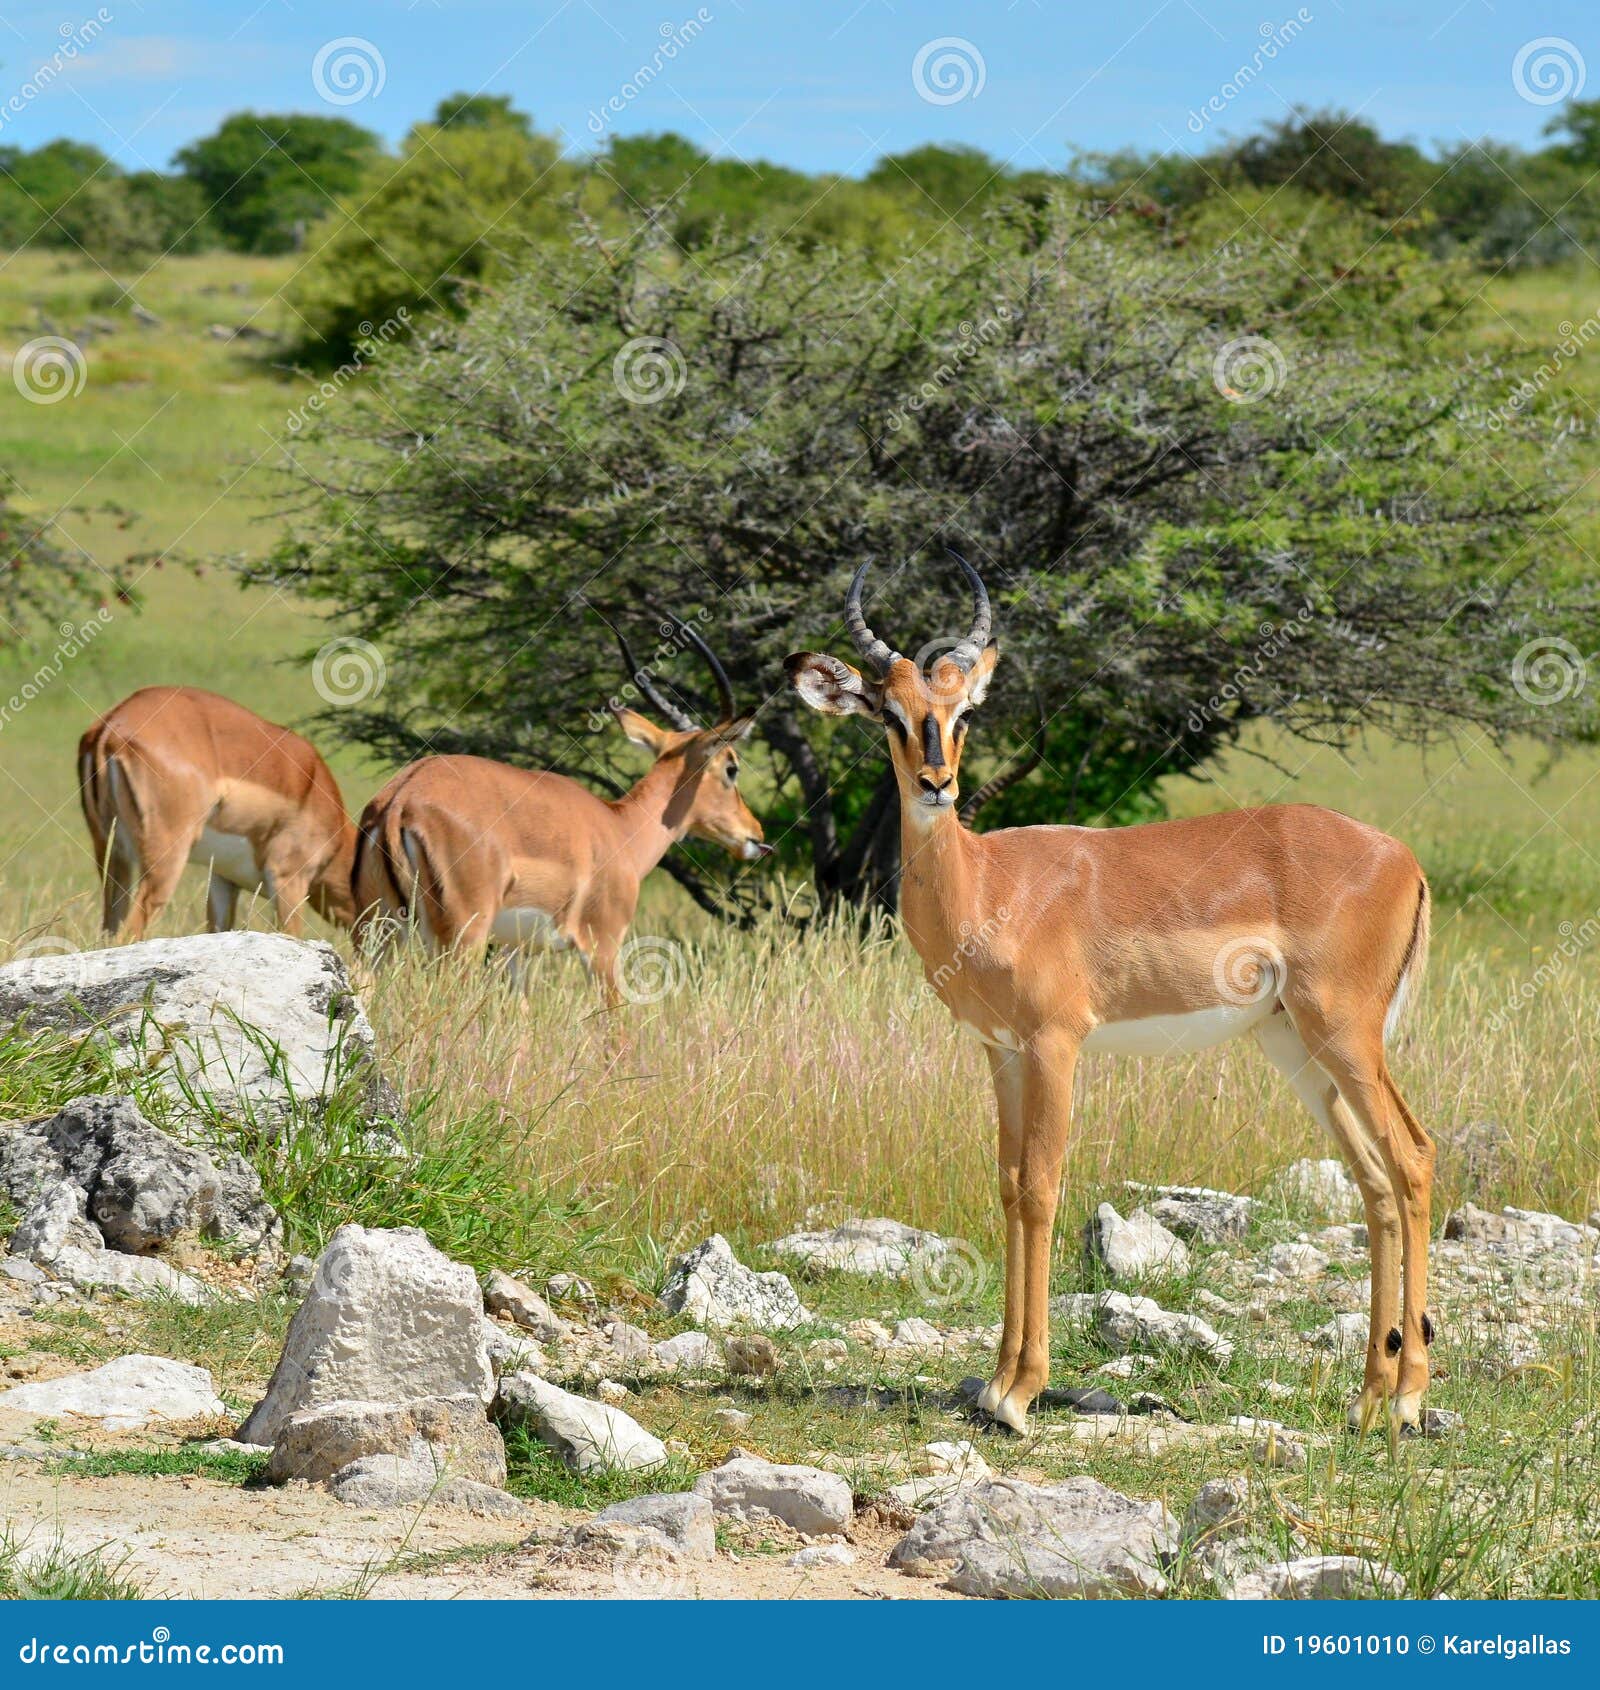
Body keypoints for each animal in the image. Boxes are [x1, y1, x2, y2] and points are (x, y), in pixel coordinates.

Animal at [353, 617, 771, 1003]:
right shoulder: (602, 945)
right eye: (731, 767)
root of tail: (400, 798)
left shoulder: (514, 951)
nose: (756, 835)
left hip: (375, 934)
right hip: (460, 940)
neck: (620, 828)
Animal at [786, 556, 1434, 1436]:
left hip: (1346, 1034)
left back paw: (1408, 1398)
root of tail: (1403, 858)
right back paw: (1367, 1398)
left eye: (961, 713)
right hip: (1294, 1045)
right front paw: (994, 1383)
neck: (989, 885)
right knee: (1373, 1181)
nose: (935, 784)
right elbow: (1008, 1185)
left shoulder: (1057, 1044)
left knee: (1413, 1159)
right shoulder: (1000, 1051)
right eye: (889, 711)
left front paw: (1021, 1393)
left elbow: (1043, 1186)